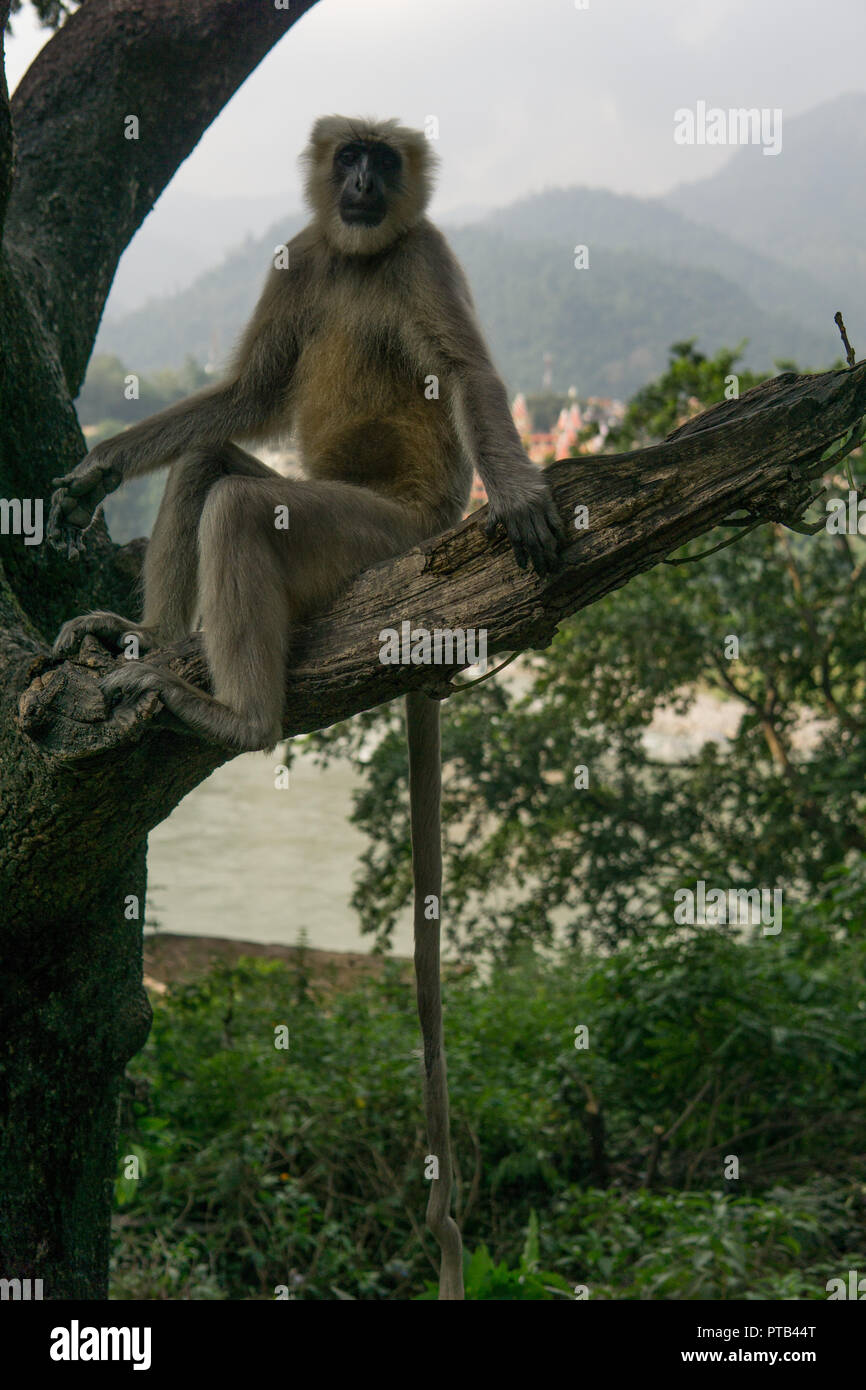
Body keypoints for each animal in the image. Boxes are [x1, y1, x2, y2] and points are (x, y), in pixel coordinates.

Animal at [47, 116, 565, 1299]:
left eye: (384, 158)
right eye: (350, 159)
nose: (366, 179)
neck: (359, 254)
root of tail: (428, 534)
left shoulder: (422, 254)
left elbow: (467, 372)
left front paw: (521, 494)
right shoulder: (302, 257)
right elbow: (242, 396)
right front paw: (95, 470)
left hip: (370, 536)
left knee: (245, 503)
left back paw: (239, 717)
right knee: (209, 464)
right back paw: (158, 648)